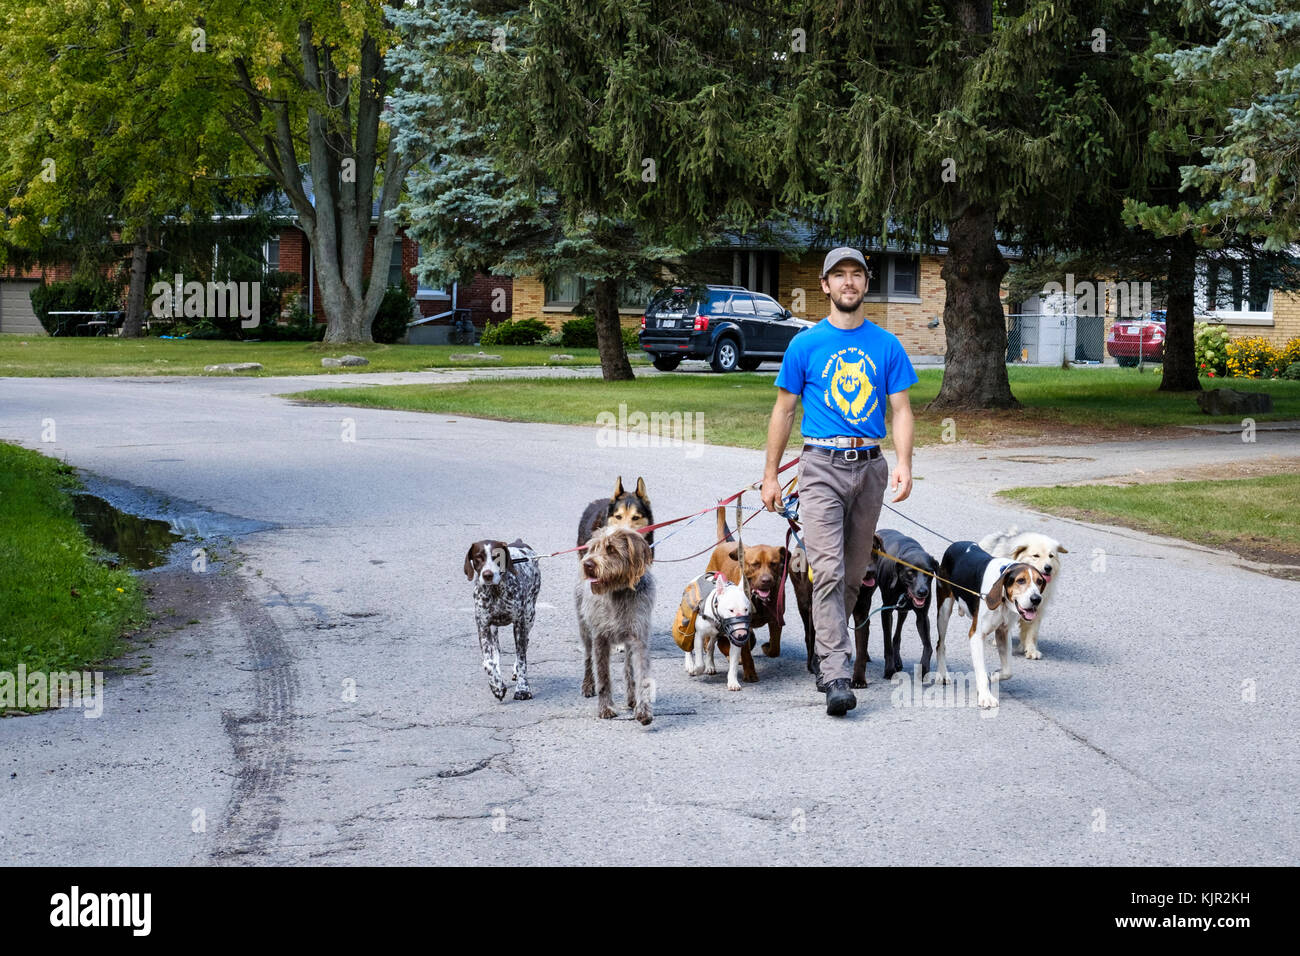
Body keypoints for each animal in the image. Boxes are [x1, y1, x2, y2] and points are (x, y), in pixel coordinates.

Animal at [465, 538, 540, 702]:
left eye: (497, 557)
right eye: (478, 557)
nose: (487, 575)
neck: (495, 591)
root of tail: (519, 542)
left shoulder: (519, 623)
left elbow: (522, 659)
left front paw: (523, 689)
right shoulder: (483, 626)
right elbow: (488, 661)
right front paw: (496, 685)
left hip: (529, 614)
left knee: (524, 643)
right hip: (494, 629)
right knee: (496, 651)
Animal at [574, 528, 655, 723]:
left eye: (611, 549)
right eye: (594, 547)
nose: (587, 564)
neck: (618, 590)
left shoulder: (638, 638)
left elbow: (640, 674)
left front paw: (643, 710)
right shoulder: (600, 638)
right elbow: (603, 676)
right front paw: (606, 708)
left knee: (628, 668)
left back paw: (632, 697)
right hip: (585, 629)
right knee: (588, 658)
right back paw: (588, 684)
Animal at [707, 509, 785, 681]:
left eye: (773, 564)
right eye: (755, 564)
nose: (766, 580)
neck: (758, 600)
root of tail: (724, 543)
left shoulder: (776, 619)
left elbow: (775, 648)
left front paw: (768, 648)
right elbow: (746, 653)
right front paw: (750, 673)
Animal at [852, 528, 935, 686]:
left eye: (928, 572)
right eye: (910, 572)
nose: (922, 592)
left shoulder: (922, 616)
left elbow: (928, 646)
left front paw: (924, 669)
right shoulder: (886, 612)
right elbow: (887, 645)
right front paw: (889, 670)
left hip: (903, 610)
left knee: (897, 634)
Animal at [977, 528, 1066, 660]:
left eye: (1051, 556)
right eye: (1036, 556)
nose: (1048, 568)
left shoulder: (1037, 608)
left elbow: (1032, 632)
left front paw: (1031, 650)